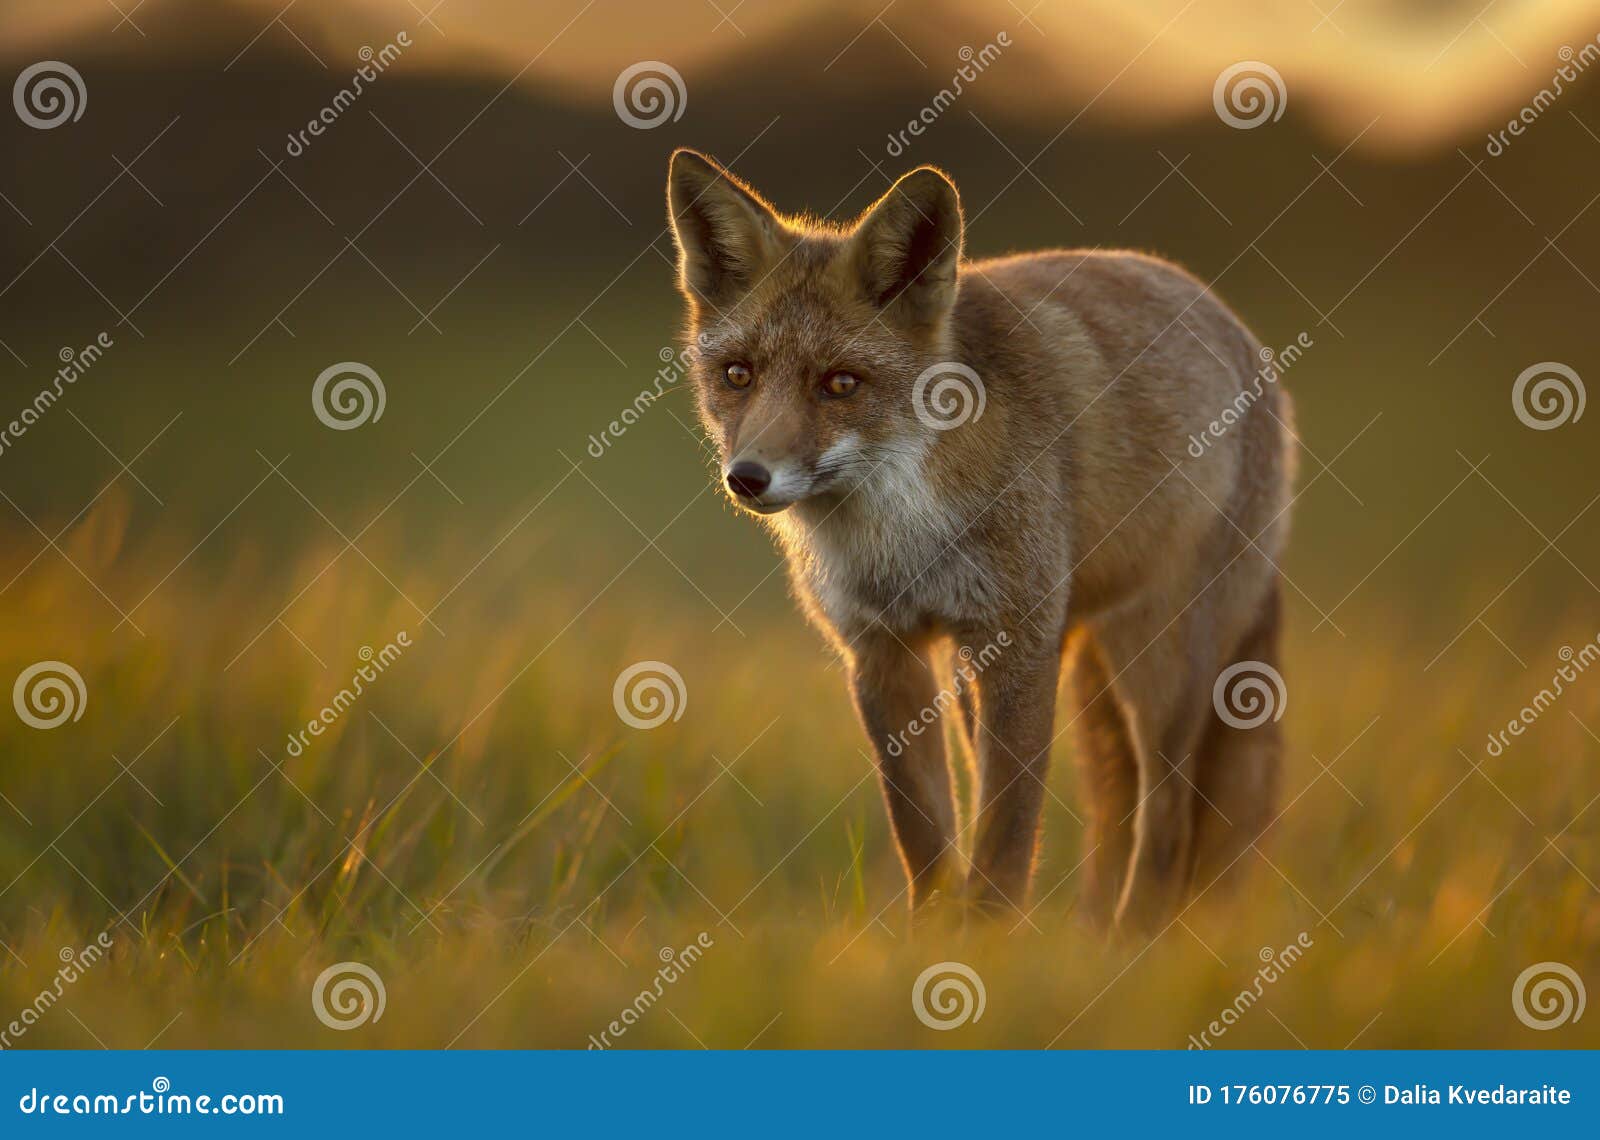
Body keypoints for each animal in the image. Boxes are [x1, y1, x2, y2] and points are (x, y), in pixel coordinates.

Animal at [665, 149, 1294, 932]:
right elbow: (925, 835)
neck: (900, 536)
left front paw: (987, 942)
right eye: (737, 375)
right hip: (1063, 671)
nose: (748, 478)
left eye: (840, 384)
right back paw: (1091, 940)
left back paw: (1134, 941)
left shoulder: (1016, 642)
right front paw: (932, 937)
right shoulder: (882, 650)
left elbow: (1005, 830)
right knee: (1115, 812)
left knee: (1168, 817)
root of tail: (1231, 322)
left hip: (1160, 662)